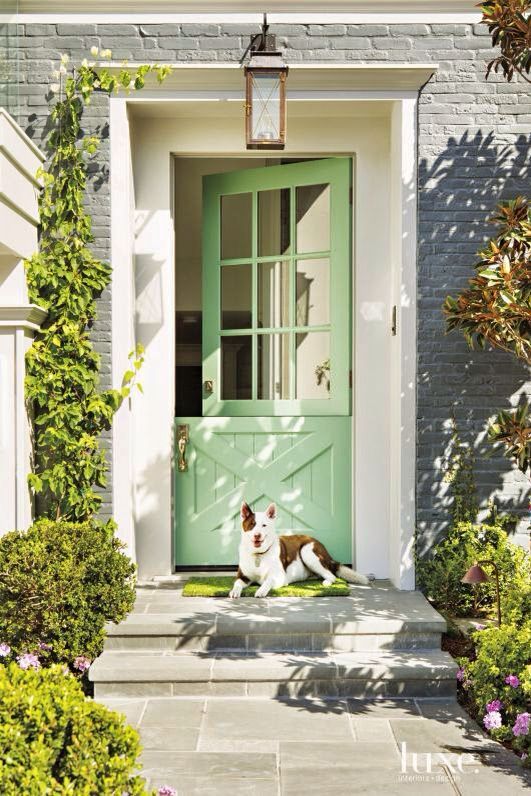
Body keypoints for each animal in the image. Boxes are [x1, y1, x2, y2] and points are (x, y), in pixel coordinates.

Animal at [231, 504, 372, 596]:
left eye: (264, 525)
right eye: (252, 525)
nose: (257, 535)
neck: (258, 554)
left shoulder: (280, 577)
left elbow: (268, 581)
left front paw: (260, 590)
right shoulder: (243, 576)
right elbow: (236, 583)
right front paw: (234, 591)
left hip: (307, 551)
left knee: (331, 576)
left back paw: (326, 582)